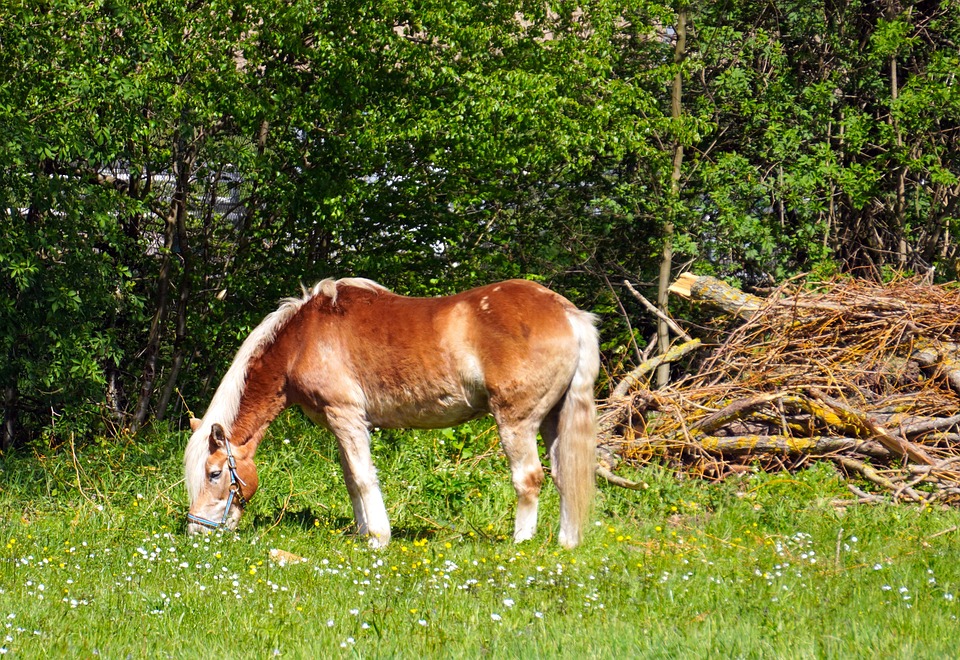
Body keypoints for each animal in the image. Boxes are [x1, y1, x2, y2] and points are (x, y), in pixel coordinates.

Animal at [184, 277, 599, 548]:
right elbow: (352, 479)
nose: (197, 530)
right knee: (563, 475)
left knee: (529, 478)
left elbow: (364, 477)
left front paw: (379, 539)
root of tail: (569, 314)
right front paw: (363, 532)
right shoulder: (340, 424)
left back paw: (520, 544)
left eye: (215, 473)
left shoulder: (346, 416)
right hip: (553, 419)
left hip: (516, 420)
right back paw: (566, 542)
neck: (302, 340)